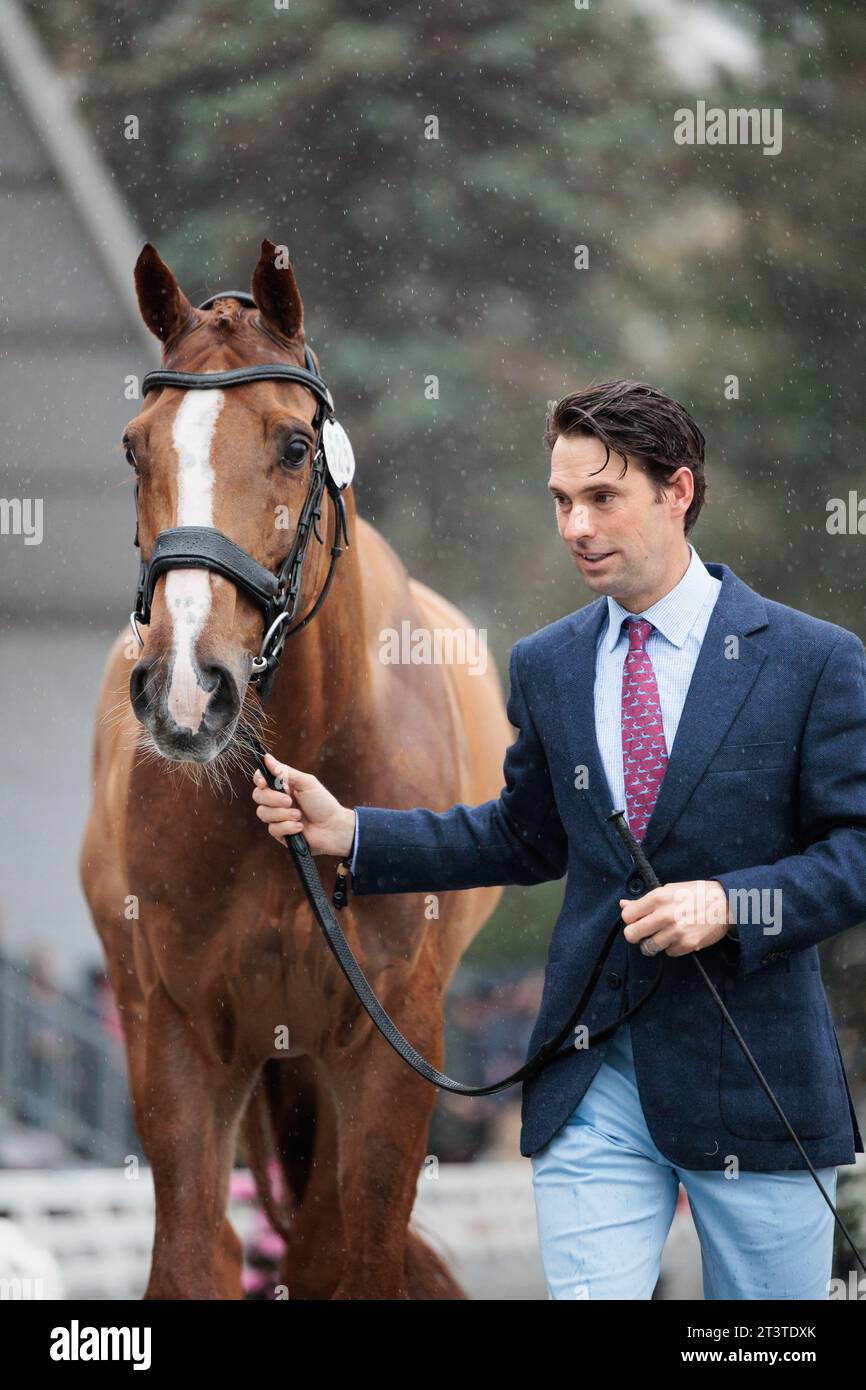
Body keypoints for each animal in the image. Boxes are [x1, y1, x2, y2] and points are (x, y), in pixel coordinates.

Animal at [79, 240, 512, 1299]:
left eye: (292, 447)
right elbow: (195, 1253)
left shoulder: (394, 1044)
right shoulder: (182, 1035)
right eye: (135, 448)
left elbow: (355, 1251)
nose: (188, 688)